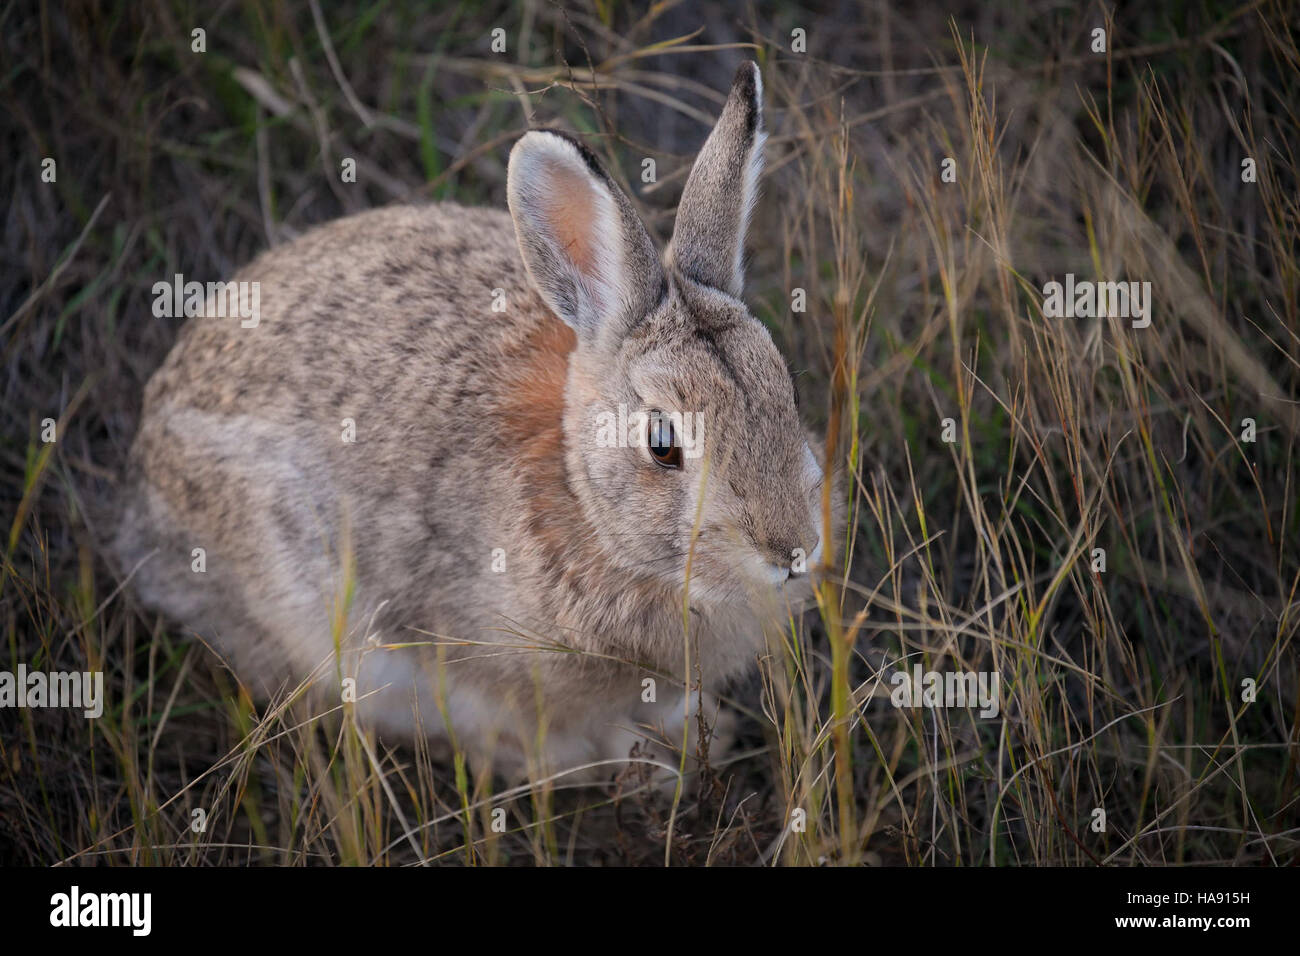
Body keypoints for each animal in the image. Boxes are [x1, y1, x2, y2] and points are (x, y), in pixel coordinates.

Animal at [113, 61, 833, 782]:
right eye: (662, 445)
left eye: (787, 392)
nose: (791, 552)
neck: (588, 512)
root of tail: (142, 490)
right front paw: (643, 767)